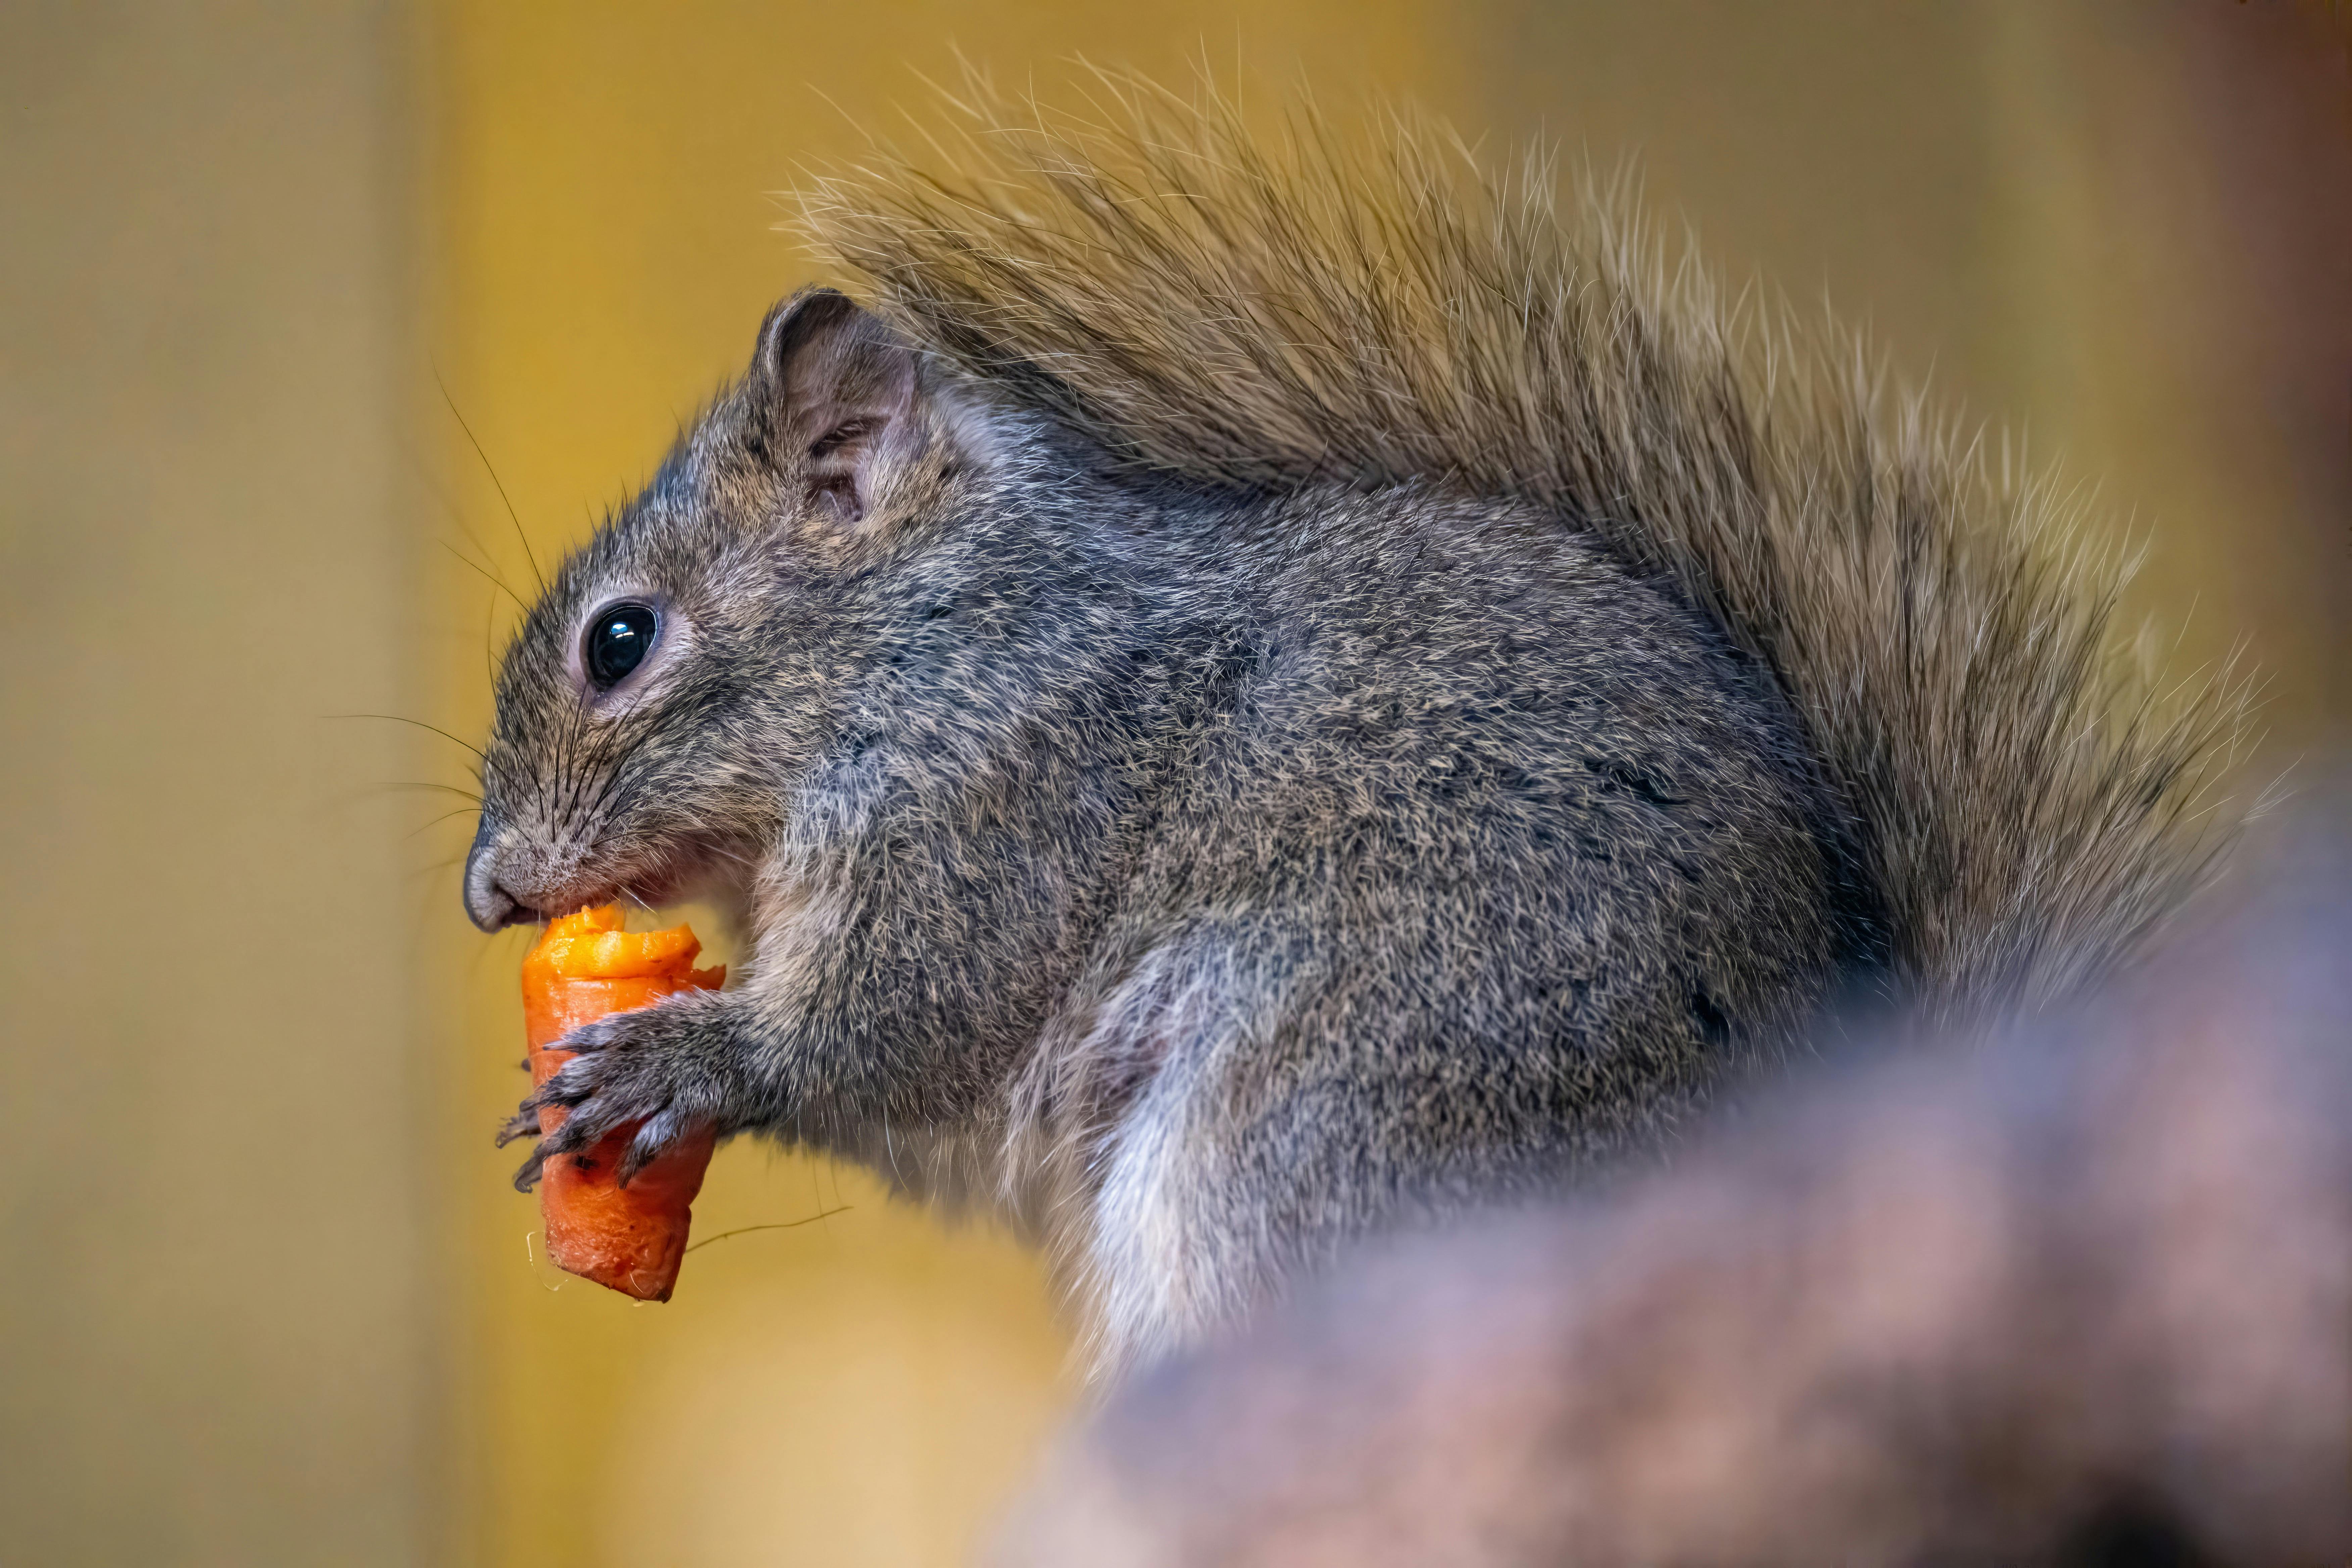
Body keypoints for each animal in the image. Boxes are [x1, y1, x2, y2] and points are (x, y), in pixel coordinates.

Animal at [462, 79, 2241, 1374]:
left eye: (622, 641)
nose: (487, 890)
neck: (940, 632)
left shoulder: (1006, 801)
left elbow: (893, 1027)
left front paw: (685, 1054)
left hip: (1331, 1134)